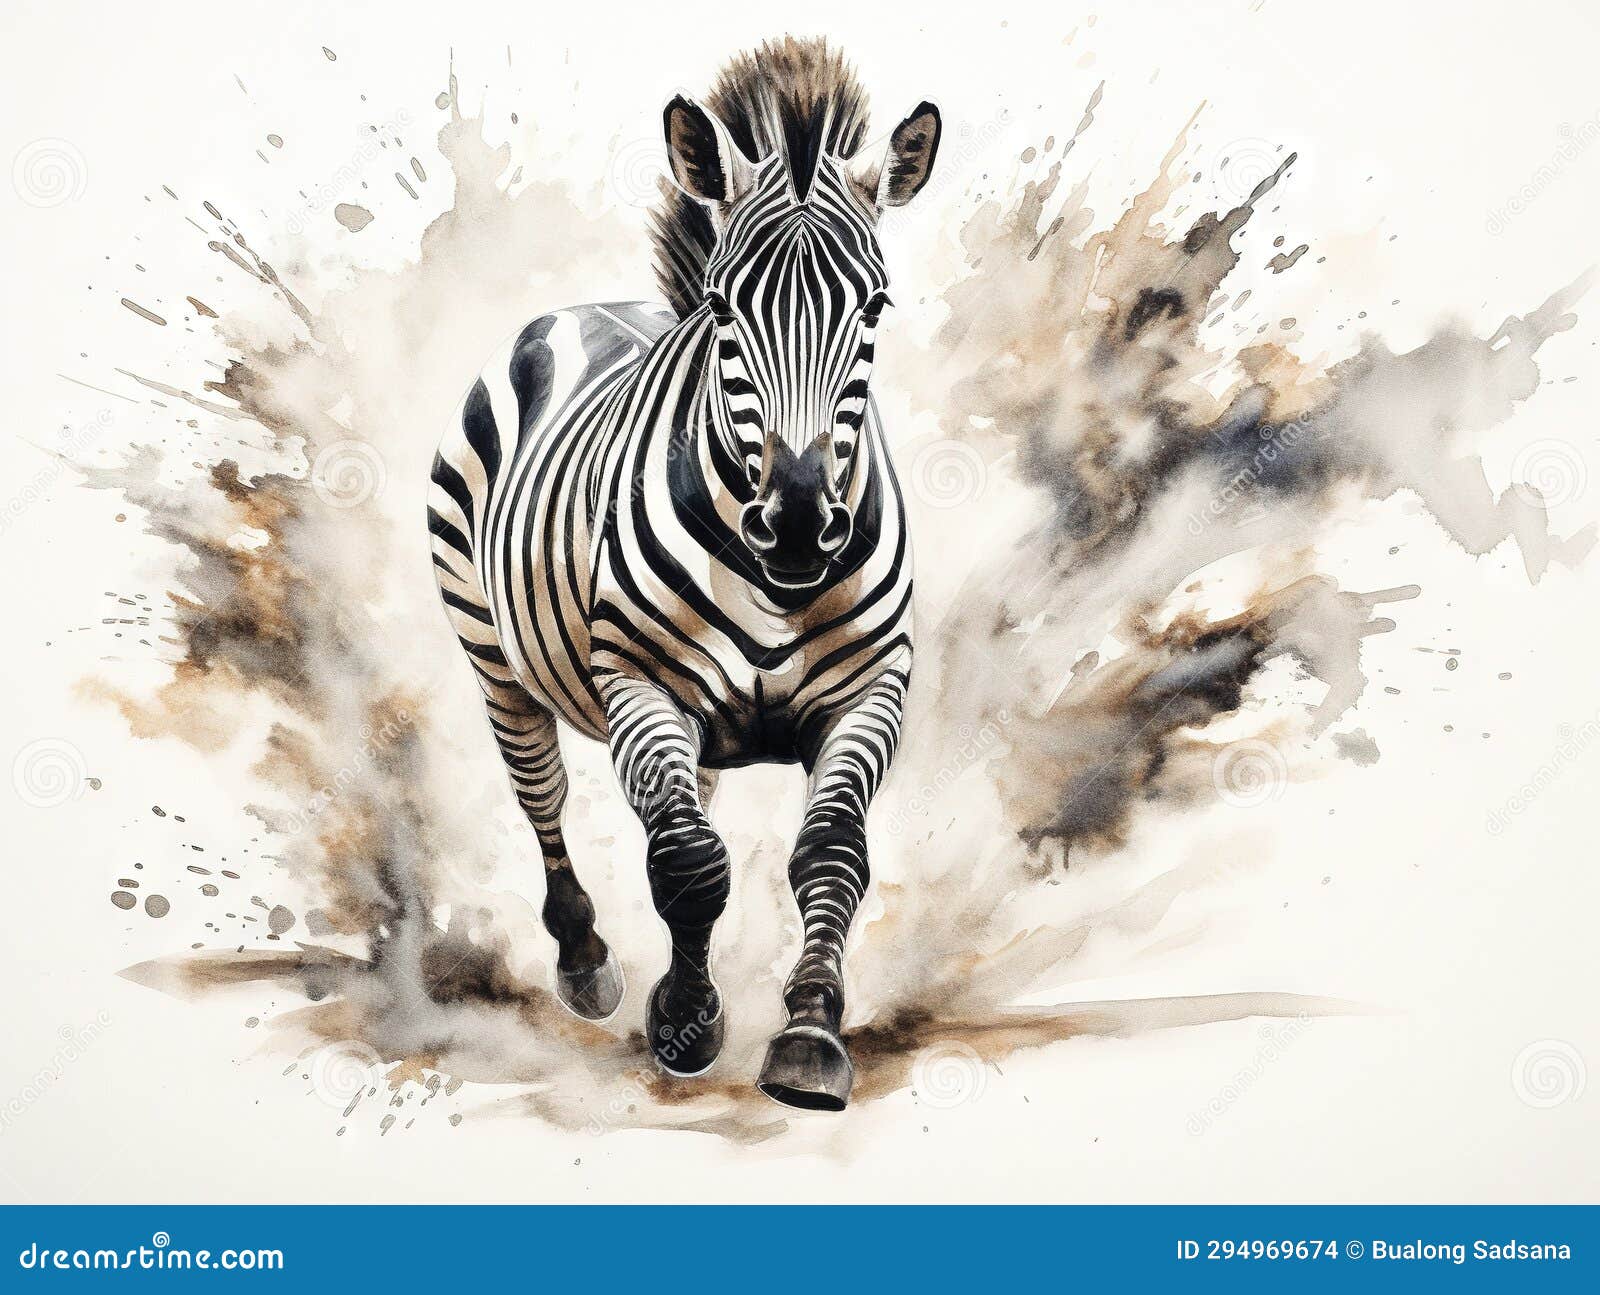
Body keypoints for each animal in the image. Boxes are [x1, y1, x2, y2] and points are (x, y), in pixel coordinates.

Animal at [427, 38, 939, 1110]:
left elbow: (829, 852)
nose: (797, 525)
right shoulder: (639, 681)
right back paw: (585, 959)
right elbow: (691, 865)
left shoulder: (873, 685)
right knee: (544, 794)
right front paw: (687, 1023)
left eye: (875, 307)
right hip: (494, 656)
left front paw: (808, 1033)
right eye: (723, 307)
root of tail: (591, 309)